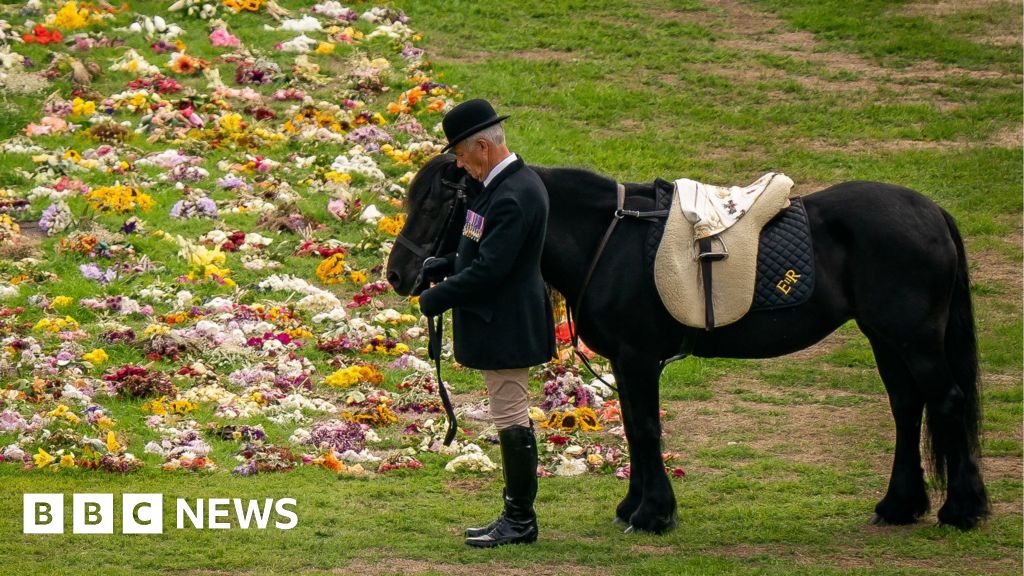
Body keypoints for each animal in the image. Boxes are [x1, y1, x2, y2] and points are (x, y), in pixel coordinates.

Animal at [386, 154, 990, 533]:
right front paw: (635, 507)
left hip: (913, 338)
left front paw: (653, 515)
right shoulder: (627, 361)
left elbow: (646, 429)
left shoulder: (637, 357)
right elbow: (636, 428)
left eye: (436, 204)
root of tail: (931, 212)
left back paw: (962, 509)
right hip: (887, 337)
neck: (610, 237)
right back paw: (900, 505)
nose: (399, 275)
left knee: (946, 401)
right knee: (908, 407)